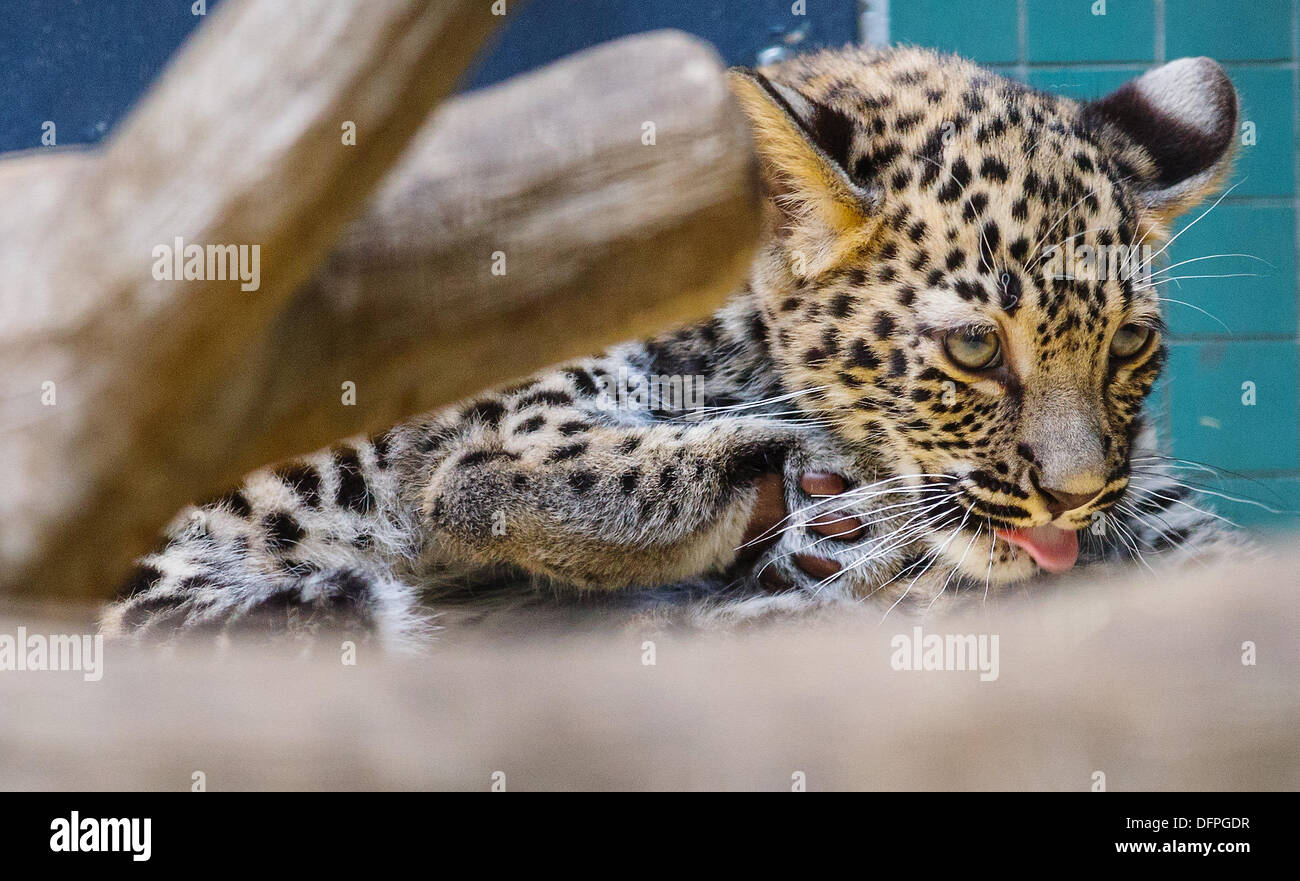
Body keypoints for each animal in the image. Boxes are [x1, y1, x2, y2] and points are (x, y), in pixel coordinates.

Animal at [104, 45, 1246, 648]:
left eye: (1130, 343)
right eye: (973, 347)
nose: (1073, 500)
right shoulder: (501, 409)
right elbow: (538, 466)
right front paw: (827, 503)